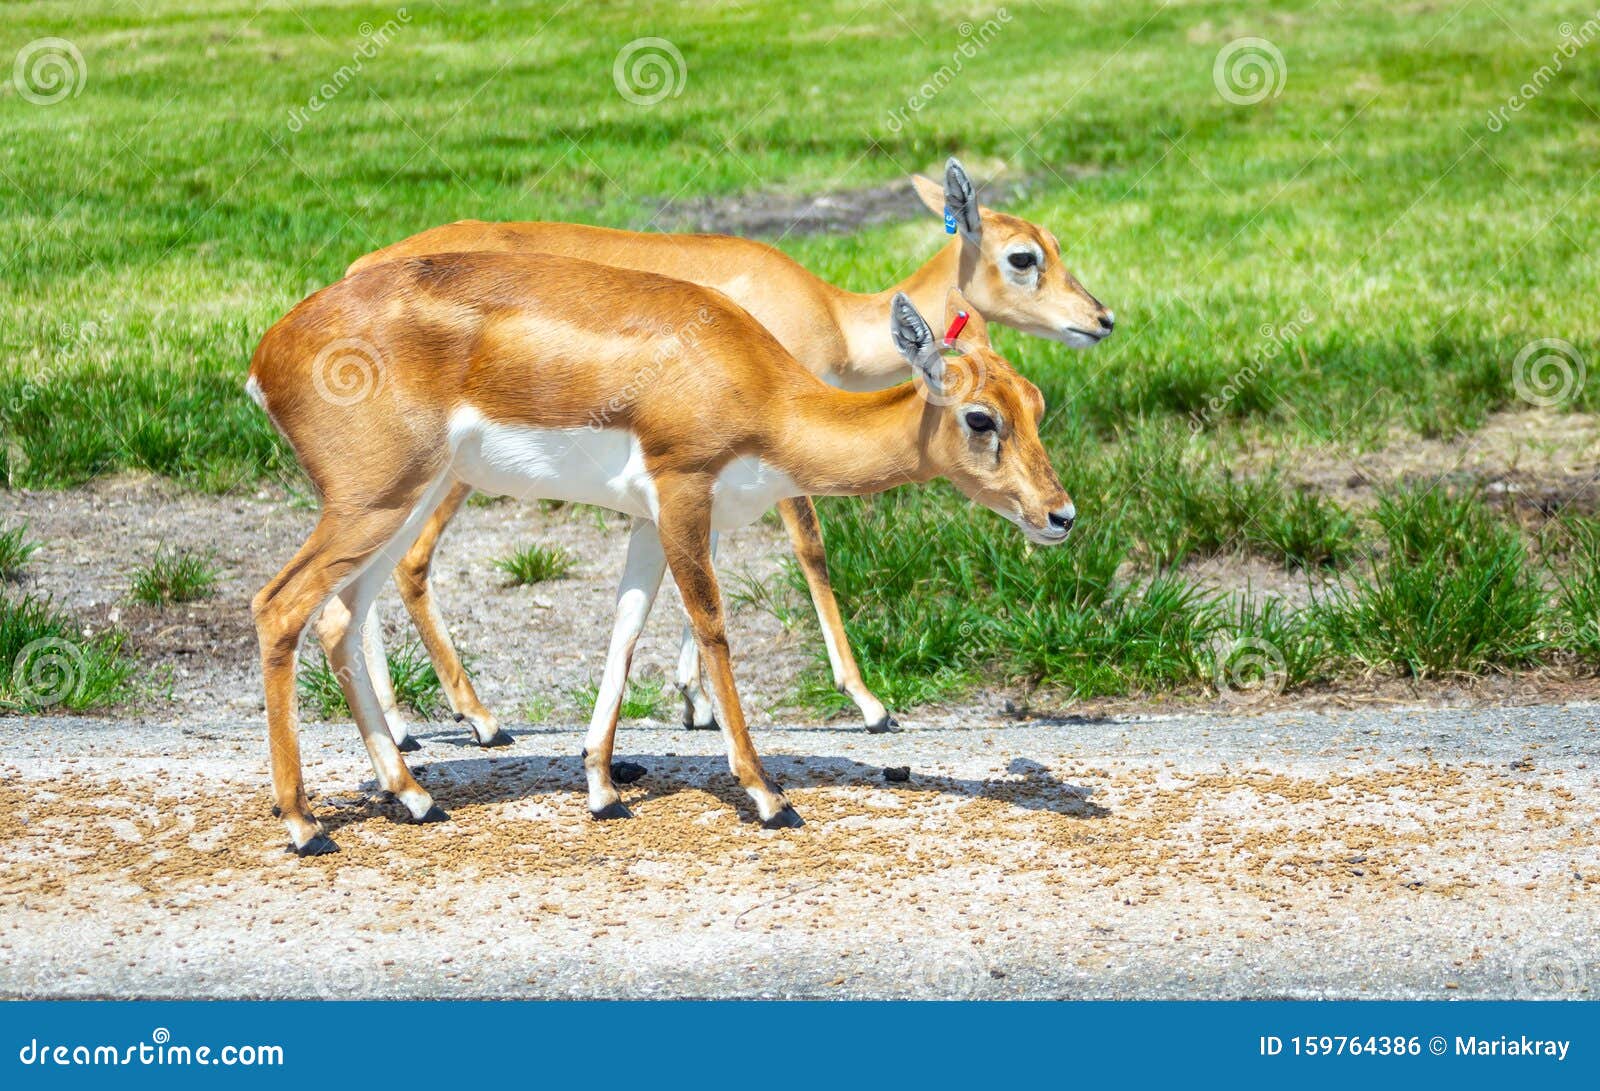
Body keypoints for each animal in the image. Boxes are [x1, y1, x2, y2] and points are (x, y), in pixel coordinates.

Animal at [247, 250, 1076, 855]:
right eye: (980, 416)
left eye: (1035, 403)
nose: (1060, 515)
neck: (768, 396)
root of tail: (267, 353)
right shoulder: (683, 493)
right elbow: (712, 628)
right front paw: (768, 794)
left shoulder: (649, 522)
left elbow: (625, 629)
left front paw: (603, 788)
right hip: (376, 501)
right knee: (279, 606)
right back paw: (305, 823)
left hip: (405, 500)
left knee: (338, 620)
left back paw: (415, 795)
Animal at [331, 159, 1111, 753]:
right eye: (1023, 256)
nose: (1101, 318)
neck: (830, 317)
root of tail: (356, 270)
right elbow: (808, 547)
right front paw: (869, 702)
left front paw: (693, 700)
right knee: (405, 562)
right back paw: (478, 720)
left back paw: (402, 726)